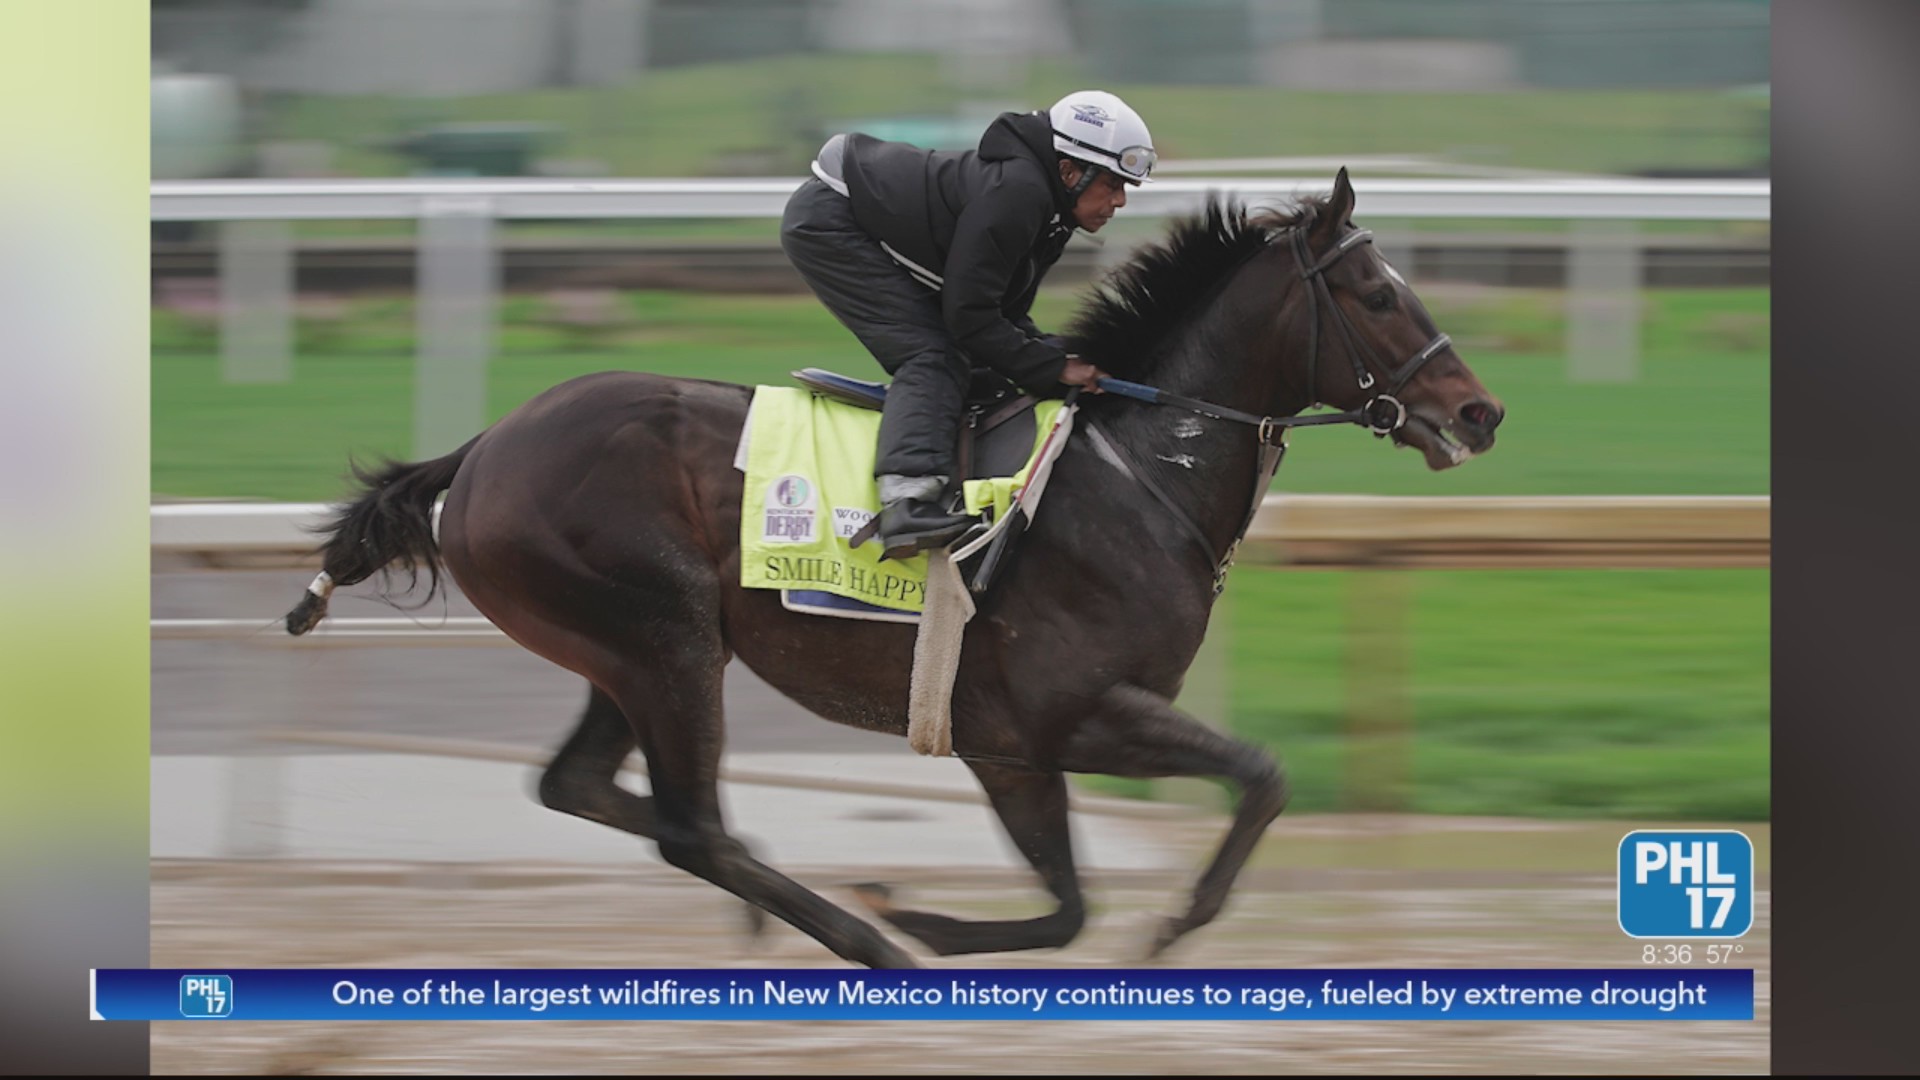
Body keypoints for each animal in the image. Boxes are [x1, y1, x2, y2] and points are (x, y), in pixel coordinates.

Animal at [282, 170, 1504, 969]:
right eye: (1380, 294)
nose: (1479, 413)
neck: (1135, 471)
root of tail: (487, 446)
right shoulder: (1059, 716)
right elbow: (1250, 785)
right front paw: (972, 922)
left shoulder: (1021, 742)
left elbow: (1081, 897)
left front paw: (938, 913)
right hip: (662, 637)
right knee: (688, 824)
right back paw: (865, 940)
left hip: (623, 651)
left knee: (584, 787)